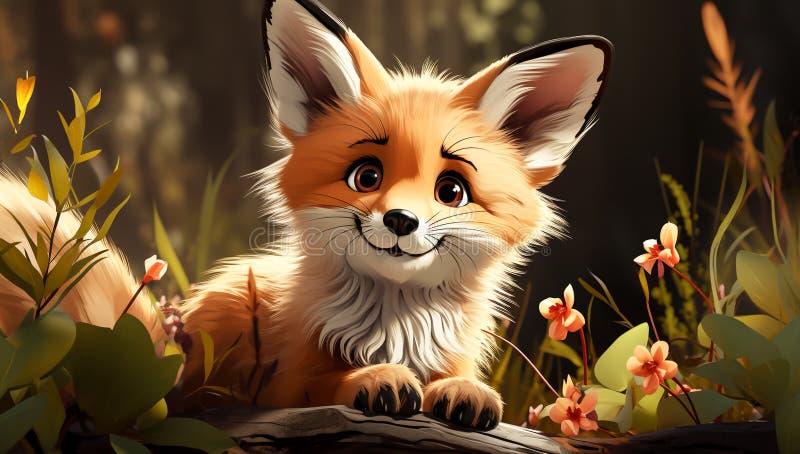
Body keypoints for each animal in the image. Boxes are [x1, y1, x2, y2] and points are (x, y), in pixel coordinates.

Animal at [0, 0, 611, 431]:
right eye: (366, 177)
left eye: (452, 191)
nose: (400, 221)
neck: (397, 326)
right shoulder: (284, 381)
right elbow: (324, 382)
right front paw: (373, 379)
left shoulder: (450, 354)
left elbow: (461, 383)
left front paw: (464, 394)